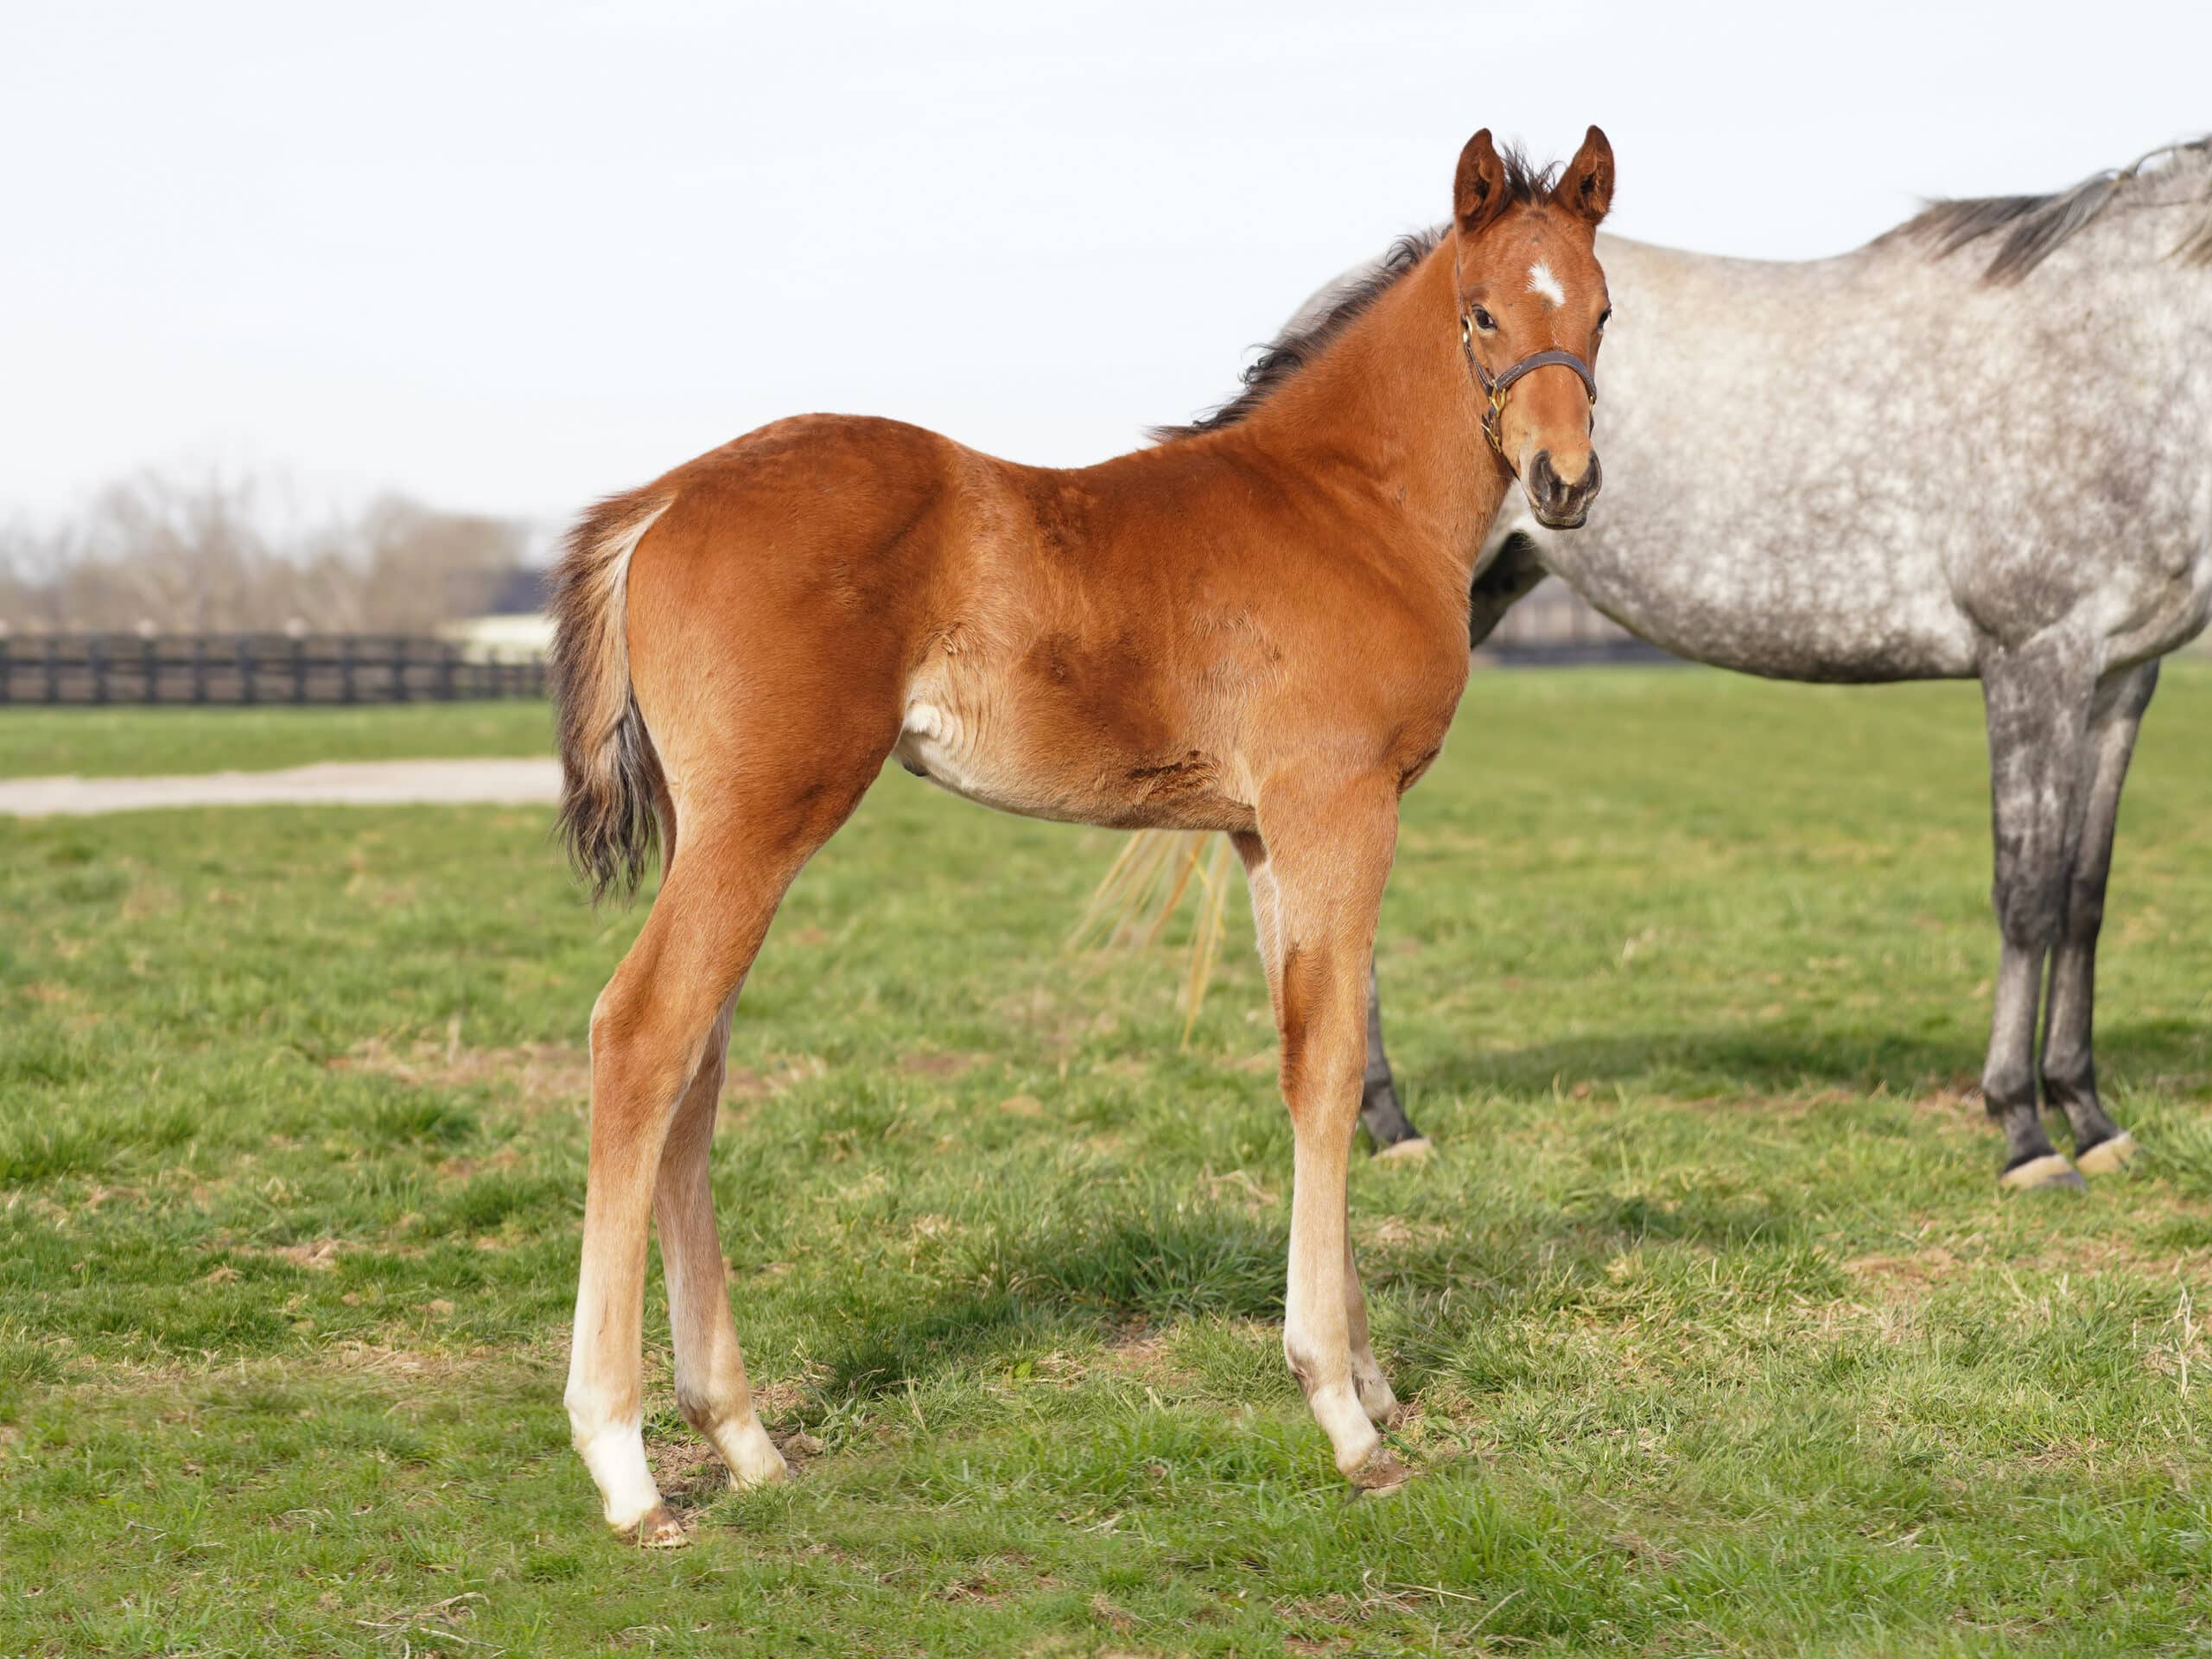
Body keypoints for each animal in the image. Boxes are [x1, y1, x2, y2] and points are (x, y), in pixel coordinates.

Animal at [546, 127, 1619, 1542]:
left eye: (1602, 313)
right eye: (1481, 313)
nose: (1566, 484)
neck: (1344, 505)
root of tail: (662, 502)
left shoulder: (1263, 837)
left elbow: (1307, 1063)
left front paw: (1371, 1380)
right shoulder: (1338, 806)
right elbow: (1336, 1062)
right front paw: (1342, 1414)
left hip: (717, 831)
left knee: (698, 1065)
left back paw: (742, 1437)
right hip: (763, 822)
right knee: (643, 1035)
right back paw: (624, 1465)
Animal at [1125, 137, 2212, 1191]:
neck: (2107, 344)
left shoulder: (2118, 679)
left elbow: (2083, 895)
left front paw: (2090, 1119)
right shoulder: (2033, 657)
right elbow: (2025, 896)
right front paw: (2023, 1135)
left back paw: (1386, 1122)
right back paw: (1385, 1127)